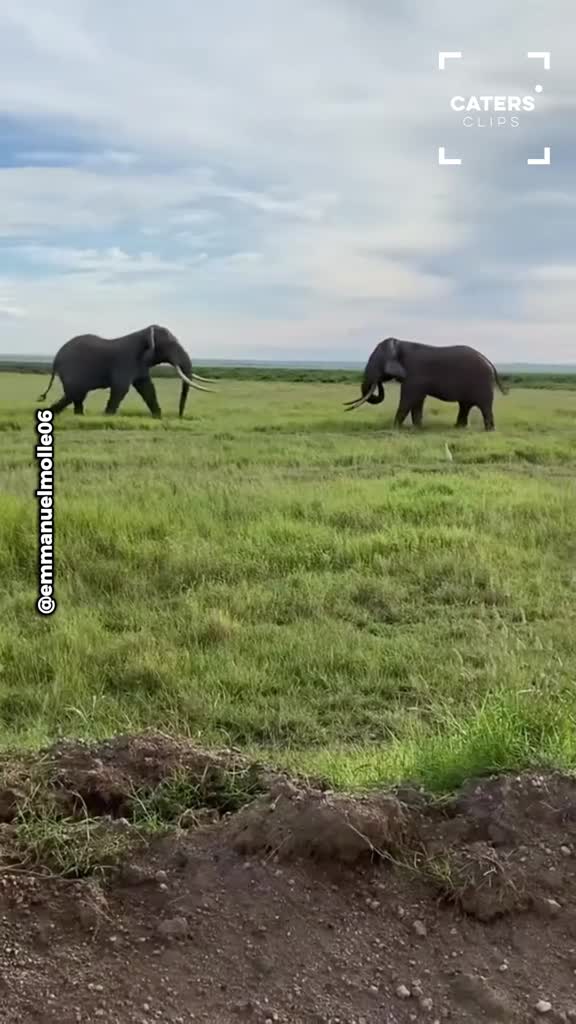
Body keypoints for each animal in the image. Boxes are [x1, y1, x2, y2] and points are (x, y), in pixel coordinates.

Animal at [37, 324, 216, 418]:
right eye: (170, 345)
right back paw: (55, 414)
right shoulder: (125, 361)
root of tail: (55, 359)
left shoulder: (141, 365)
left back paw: (74, 415)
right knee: (74, 394)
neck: (144, 333)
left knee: (76, 395)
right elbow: (121, 388)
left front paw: (158, 417)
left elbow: (147, 388)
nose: (179, 417)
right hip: (71, 371)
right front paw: (108, 416)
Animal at [344, 336, 508, 430]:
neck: (400, 344)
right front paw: (417, 428)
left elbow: (408, 399)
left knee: (484, 406)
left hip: (482, 383)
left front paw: (395, 428)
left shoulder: (415, 375)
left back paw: (489, 430)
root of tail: (490, 363)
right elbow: (417, 401)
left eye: (375, 361)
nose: (378, 381)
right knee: (465, 405)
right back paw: (458, 427)